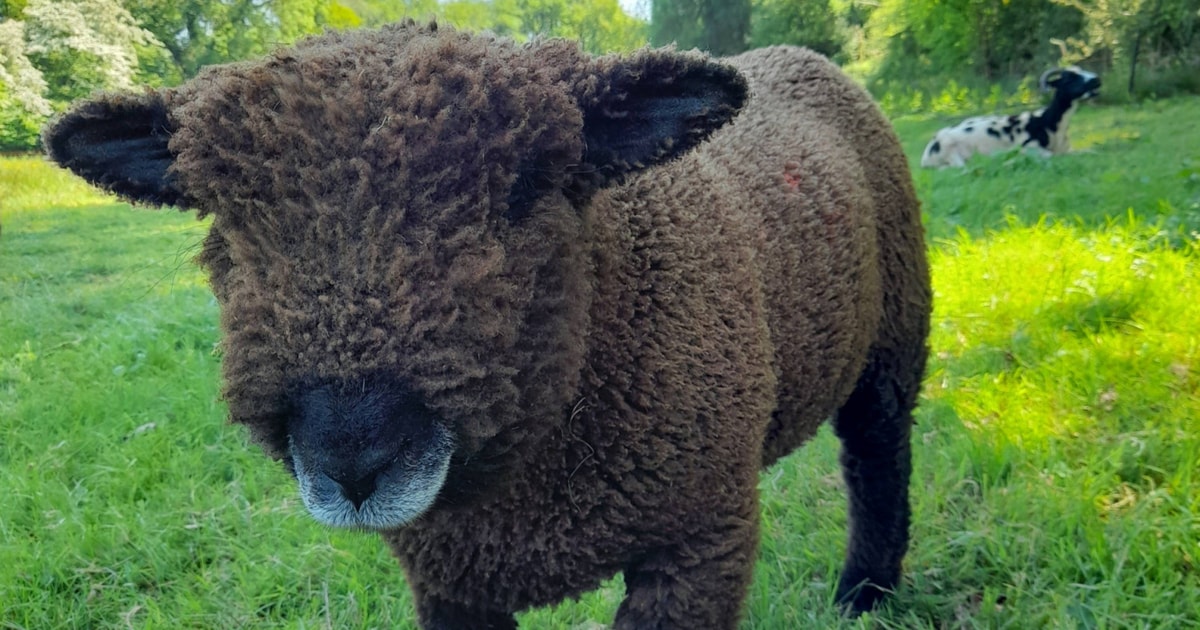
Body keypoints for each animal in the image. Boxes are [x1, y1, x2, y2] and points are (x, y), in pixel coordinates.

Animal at [44, 21, 930, 629]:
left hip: (895, 338)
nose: (352, 457)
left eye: (530, 187)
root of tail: (791, 54)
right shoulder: (448, 584)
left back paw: (863, 596)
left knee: (878, 462)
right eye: (225, 217)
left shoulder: (699, 546)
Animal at [920, 67, 1101, 168]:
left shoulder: (1067, 148)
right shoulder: (1029, 148)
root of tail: (925, 157)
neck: (1046, 123)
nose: (1097, 80)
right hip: (948, 148)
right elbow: (1051, 156)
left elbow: (1090, 150)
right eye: (1069, 78)